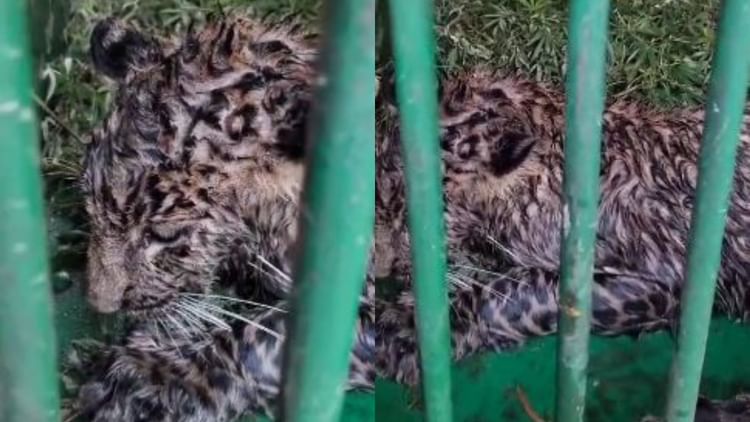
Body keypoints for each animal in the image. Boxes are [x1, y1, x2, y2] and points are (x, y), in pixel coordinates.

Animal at [374, 68, 750, 417]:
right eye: (382, 193)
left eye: (415, 213)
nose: (382, 268)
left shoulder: (661, 278)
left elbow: (519, 292)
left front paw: (407, 332)